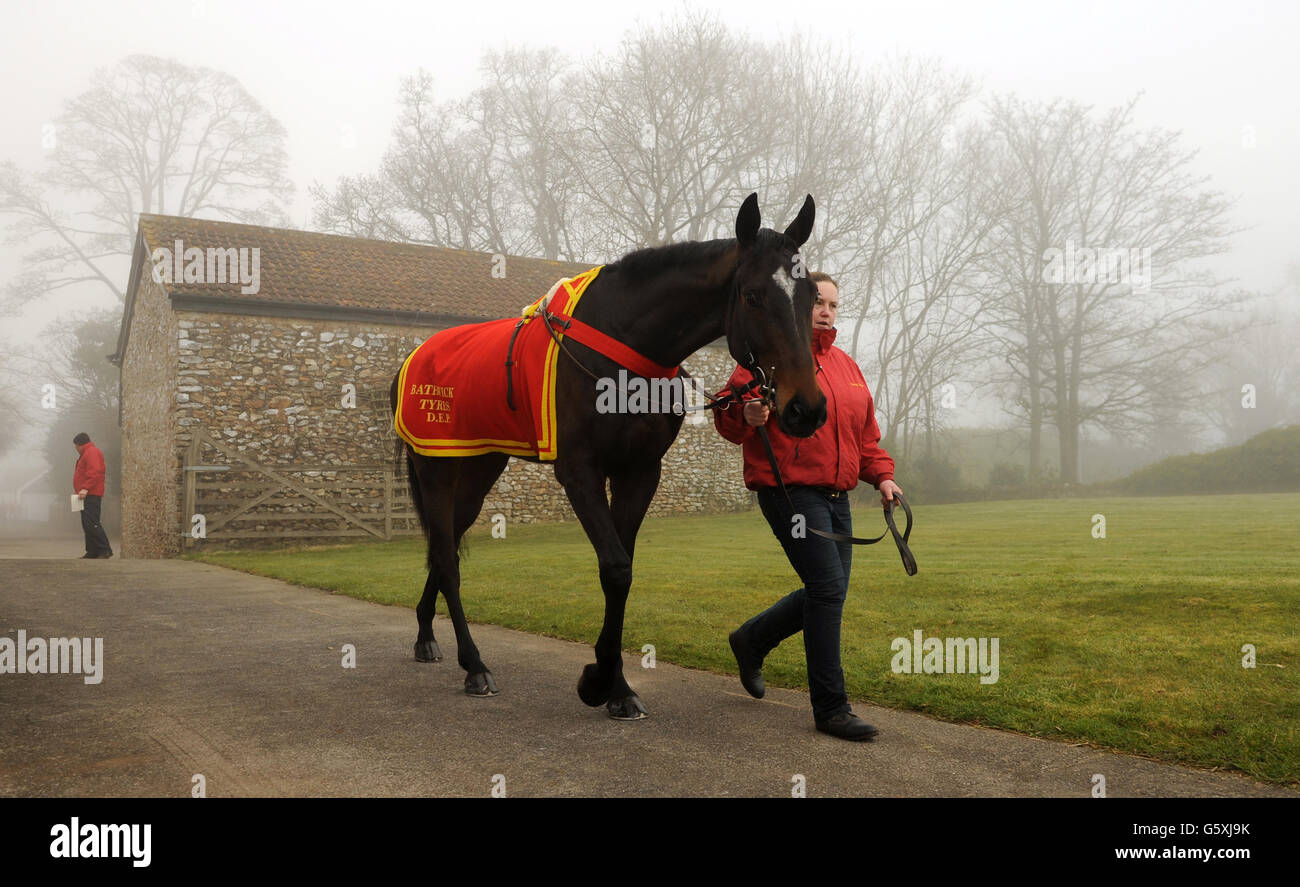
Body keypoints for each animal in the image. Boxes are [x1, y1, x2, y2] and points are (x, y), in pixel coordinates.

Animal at [389, 192, 827, 719]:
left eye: (809, 295)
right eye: (754, 296)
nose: (806, 408)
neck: (624, 346)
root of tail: (414, 359)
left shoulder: (639, 472)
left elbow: (624, 566)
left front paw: (612, 682)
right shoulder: (580, 471)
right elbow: (615, 567)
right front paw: (602, 681)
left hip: (479, 467)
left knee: (446, 544)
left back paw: (425, 633)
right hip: (435, 467)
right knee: (446, 556)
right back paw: (474, 665)